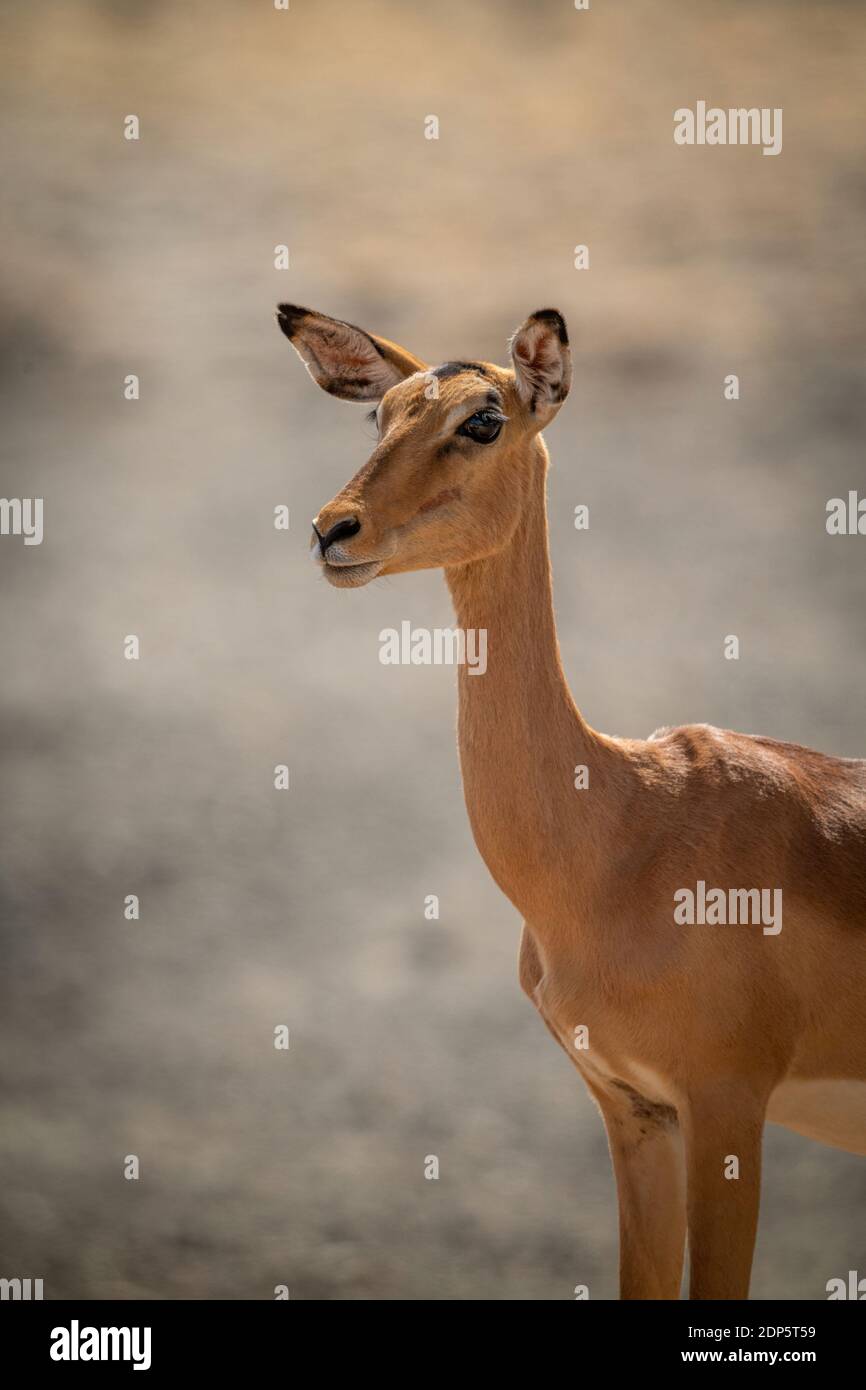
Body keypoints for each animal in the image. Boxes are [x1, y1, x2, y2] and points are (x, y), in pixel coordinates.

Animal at [276, 302, 866, 1300]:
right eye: (380, 413)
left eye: (483, 419)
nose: (331, 529)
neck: (623, 833)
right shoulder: (632, 1110)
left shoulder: (727, 1110)